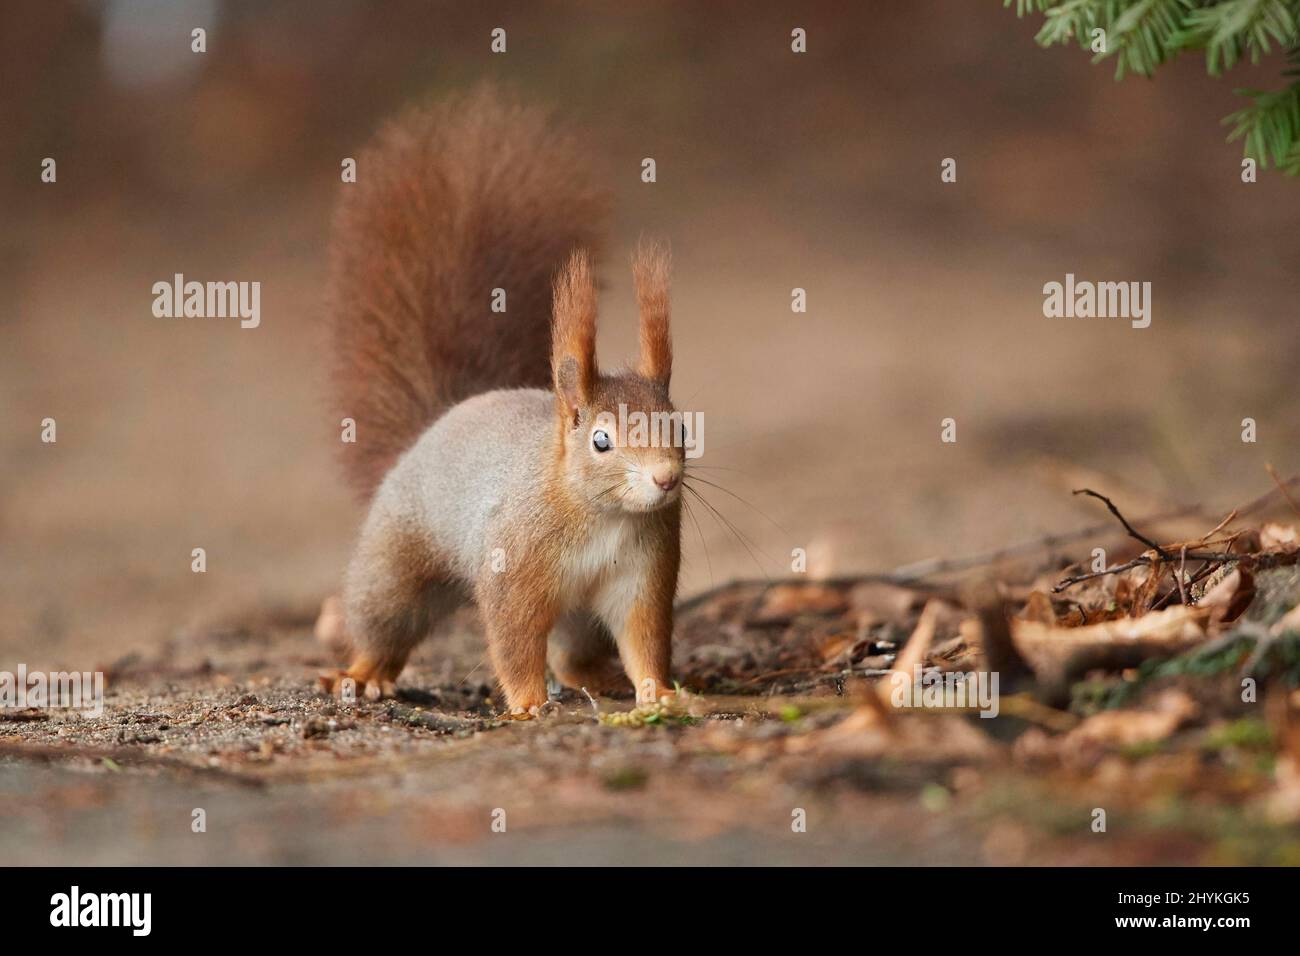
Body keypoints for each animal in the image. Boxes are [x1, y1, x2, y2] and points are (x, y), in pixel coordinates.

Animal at [320, 87, 684, 716]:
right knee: (381, 622)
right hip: (394, 561)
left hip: (581, 619)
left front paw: (656, 691)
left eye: (681, 427)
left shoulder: (644, 573)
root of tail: (440, 420)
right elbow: (513, 639)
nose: (665, 479)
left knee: (571, 650)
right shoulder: (512, 565)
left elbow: (643, 638)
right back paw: (362, 674)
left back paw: (597, 678)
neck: (603, 515)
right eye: (601, 440)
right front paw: (528, 704)